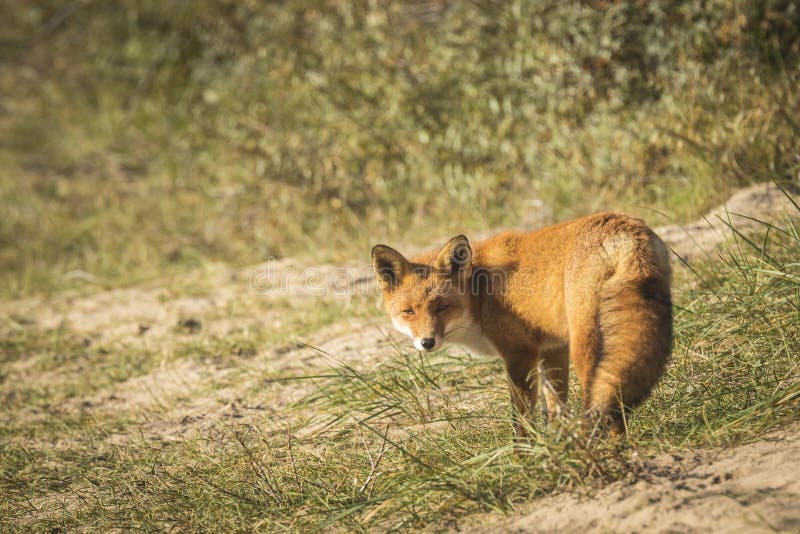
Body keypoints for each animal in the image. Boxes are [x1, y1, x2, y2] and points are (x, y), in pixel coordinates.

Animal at [371, 212, 672, 436]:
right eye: (409, 312)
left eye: (442, 307)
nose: (427, 342)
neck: (481, 293)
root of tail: (622, 227)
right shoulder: (553, 348)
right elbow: (555, 410)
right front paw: (559, 448)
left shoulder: (520, 354)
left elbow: (522, 421)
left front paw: (525, 457)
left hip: (586, 349)